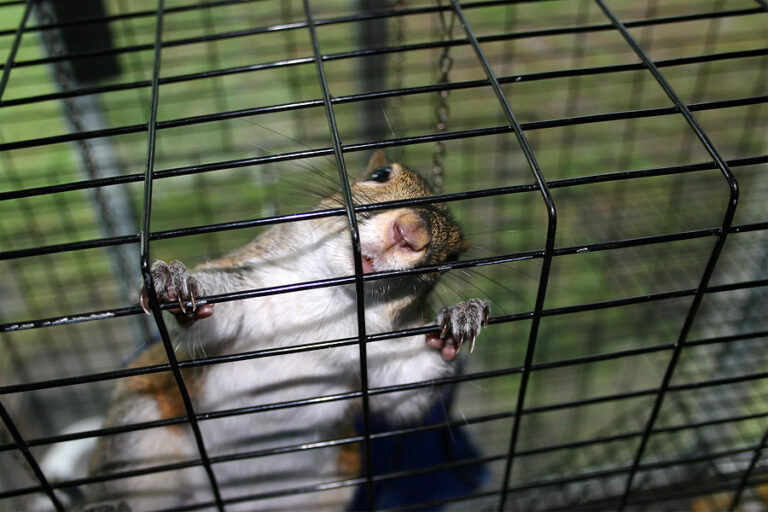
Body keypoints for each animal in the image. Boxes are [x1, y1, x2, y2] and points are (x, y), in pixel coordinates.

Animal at [86, 151, 490, 511]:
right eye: (380, 174)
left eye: (452, 260)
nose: (412, 232)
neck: (327, 303)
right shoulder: (246, 287)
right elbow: (210, 320)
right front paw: (176, 283)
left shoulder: (379, 357)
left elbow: (404, 391)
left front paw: (459, 321)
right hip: (138, 438)